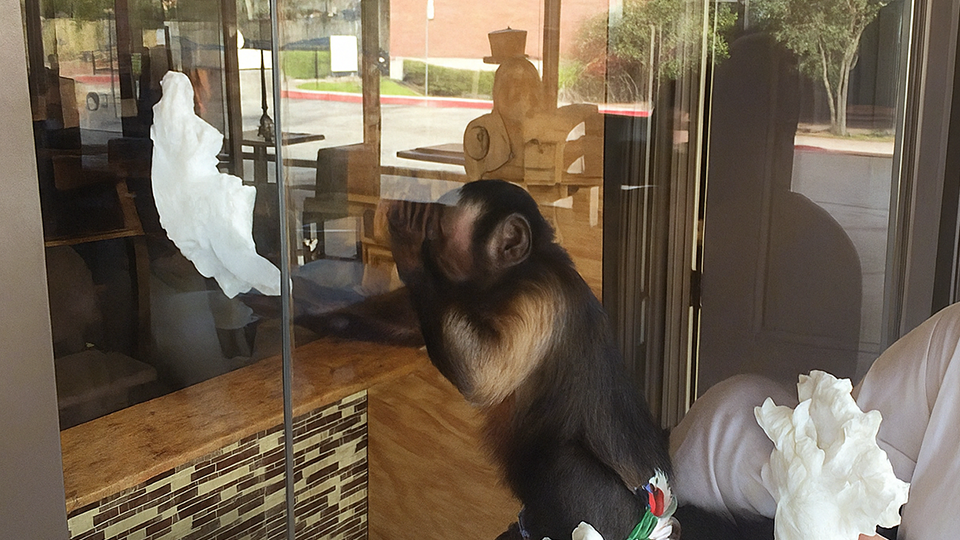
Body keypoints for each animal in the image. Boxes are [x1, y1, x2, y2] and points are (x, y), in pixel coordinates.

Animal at [386, 179, 676, 540]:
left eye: (436, 225)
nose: (423, 213)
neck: (508, 281)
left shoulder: (537, 296)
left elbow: (483, 378)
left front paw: (408, 243)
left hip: (622, 521)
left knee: (560, 464)